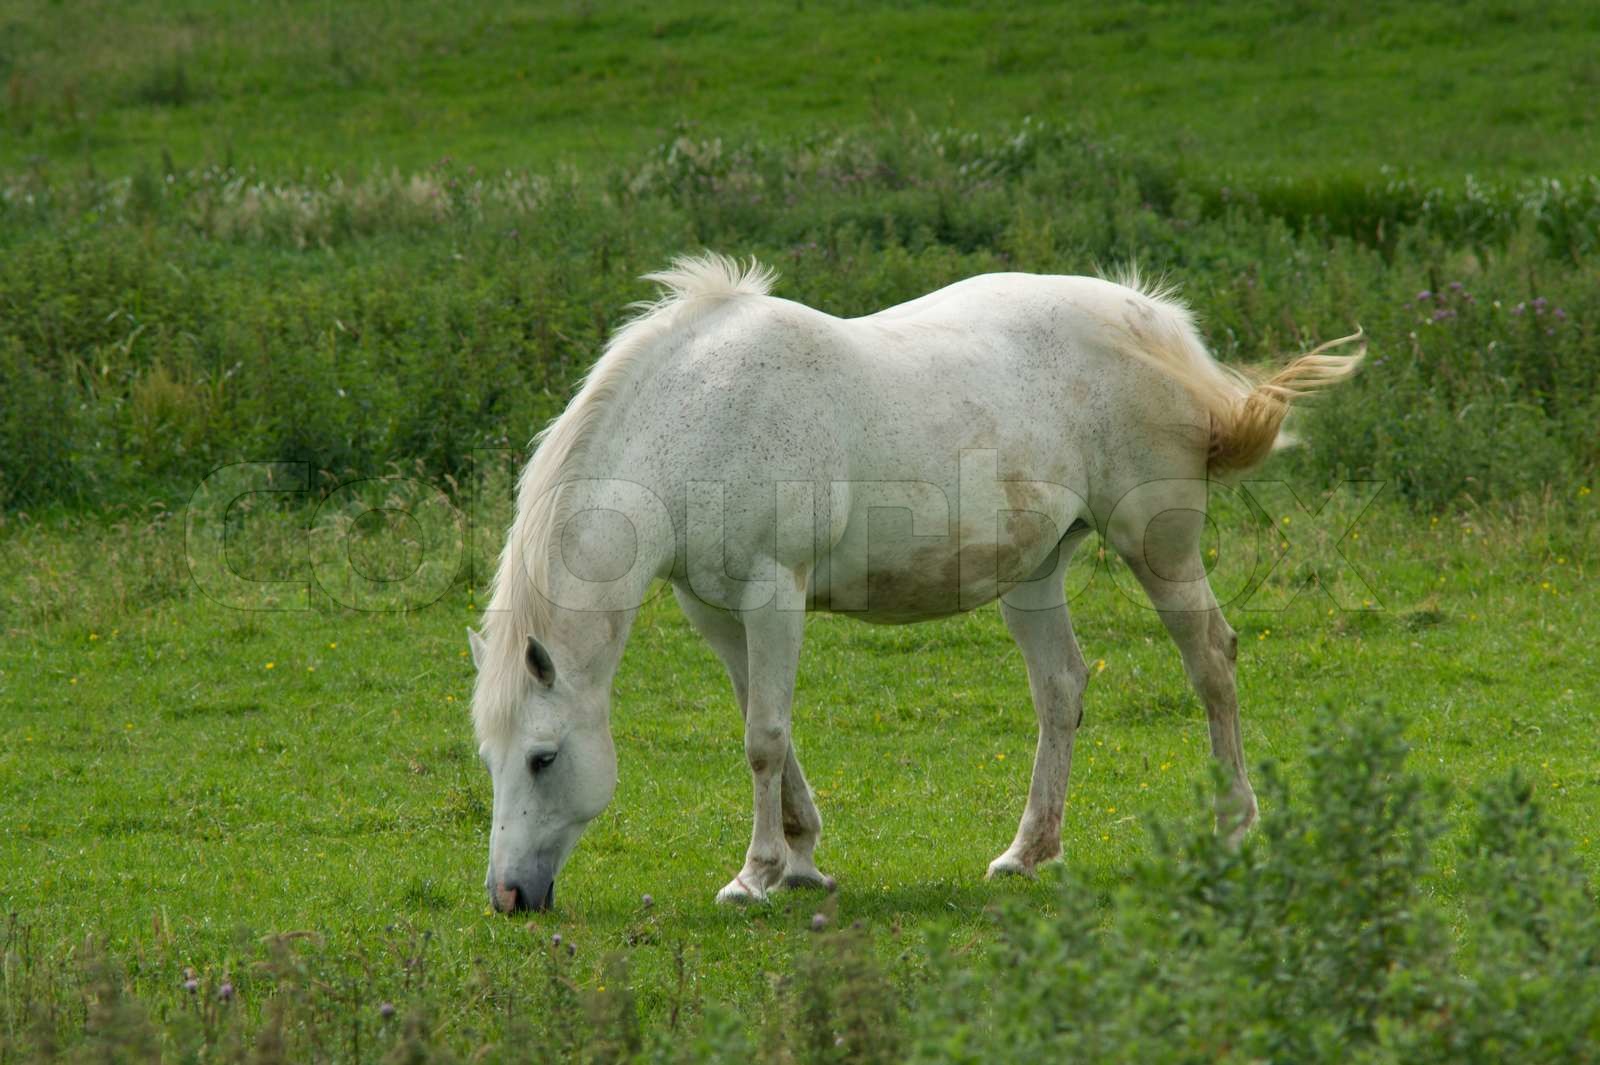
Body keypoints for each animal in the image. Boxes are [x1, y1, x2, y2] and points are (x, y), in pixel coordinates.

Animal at [468, 254, 1363, 912]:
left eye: (543, 758)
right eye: (492, 759)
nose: (509, 897)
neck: (696, 418)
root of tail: (1157, 319)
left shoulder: (774, 594)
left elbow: (764, 736)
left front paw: (755, 875)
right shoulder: (713, 609)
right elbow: (766, 724)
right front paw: (802, 858)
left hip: (1158, 541)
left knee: (1210, 660)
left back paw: (1233, 826)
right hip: (1036, 570)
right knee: (1061, 688)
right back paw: (1028, 851)